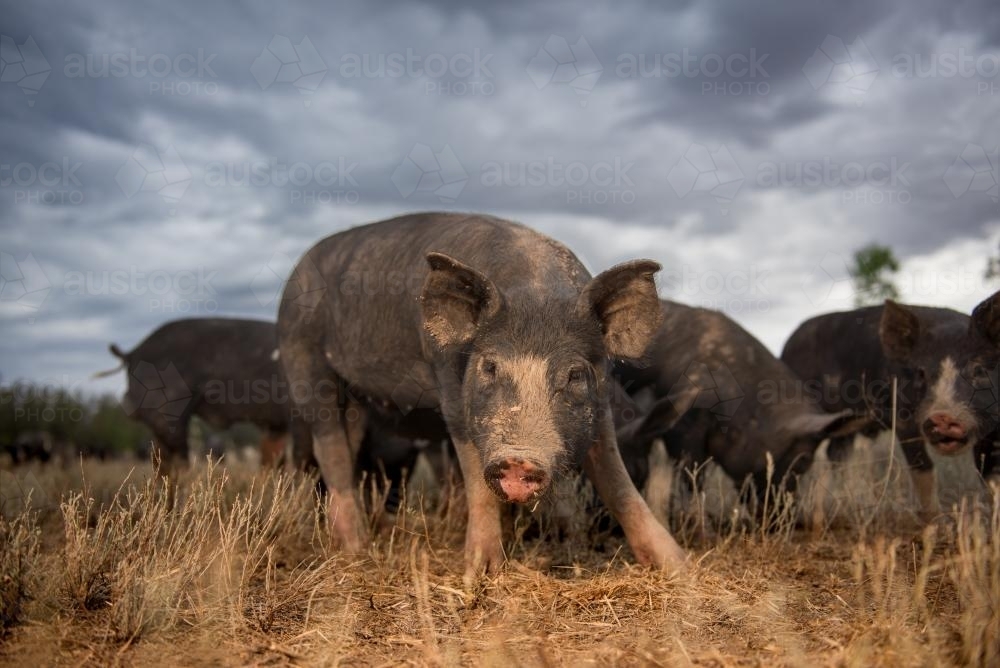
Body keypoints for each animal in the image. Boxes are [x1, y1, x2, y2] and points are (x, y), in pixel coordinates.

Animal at [276, 212, 684, 578]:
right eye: (489, 366)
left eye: (574, 375)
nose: (518, 460)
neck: (535, 290)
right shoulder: (448, 383)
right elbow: (474, 473)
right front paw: (479, 573)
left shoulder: (599, 408)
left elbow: (614, 476)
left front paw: (677, 567)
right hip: (302, 354)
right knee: (330, 448)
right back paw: (355, 547)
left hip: (357, 393)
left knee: (348, 440)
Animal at [780, 294, 1000, 516]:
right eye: (921, 373)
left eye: (979, 370)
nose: (942, 415)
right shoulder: (903, 421)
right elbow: (923, 469)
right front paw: (934, 522)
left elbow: (991, 476)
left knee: (836, 453)